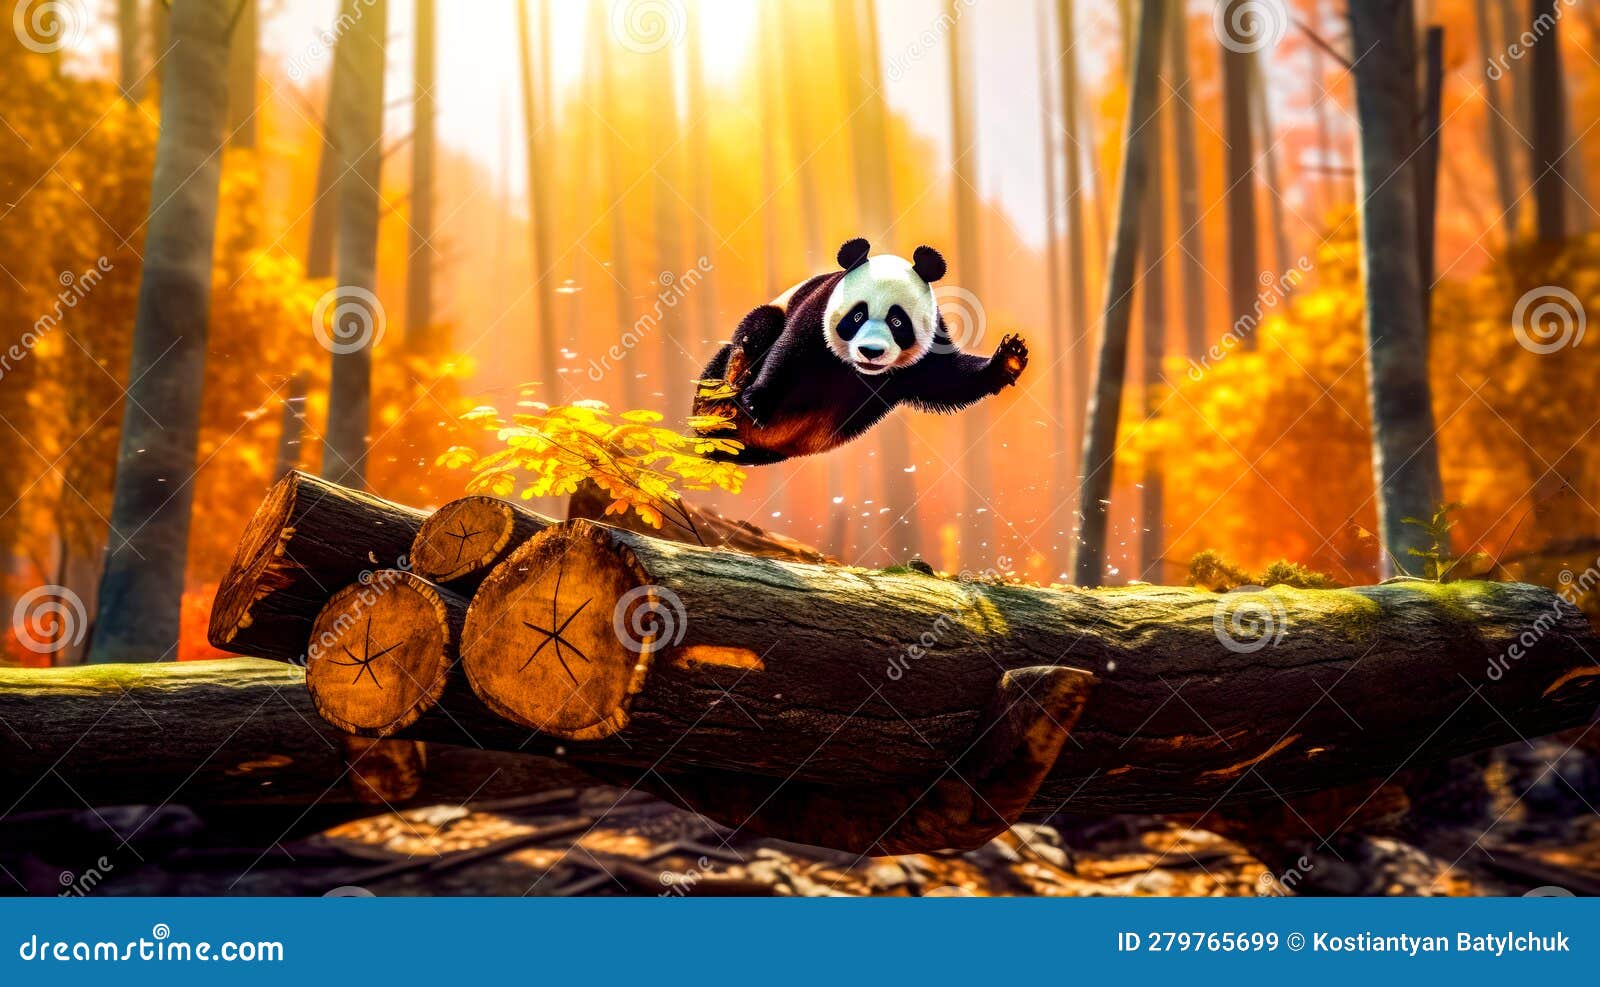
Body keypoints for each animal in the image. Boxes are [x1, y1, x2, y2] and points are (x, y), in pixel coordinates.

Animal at [691, 237, 1029, 465]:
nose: (871, 351)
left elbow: (948, 378)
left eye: (897, 321)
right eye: (857, 316)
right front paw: (758, 401)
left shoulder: (929, 347)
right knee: (755, 331)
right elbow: (787, 354)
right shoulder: (816, 313)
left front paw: (1008, 359)